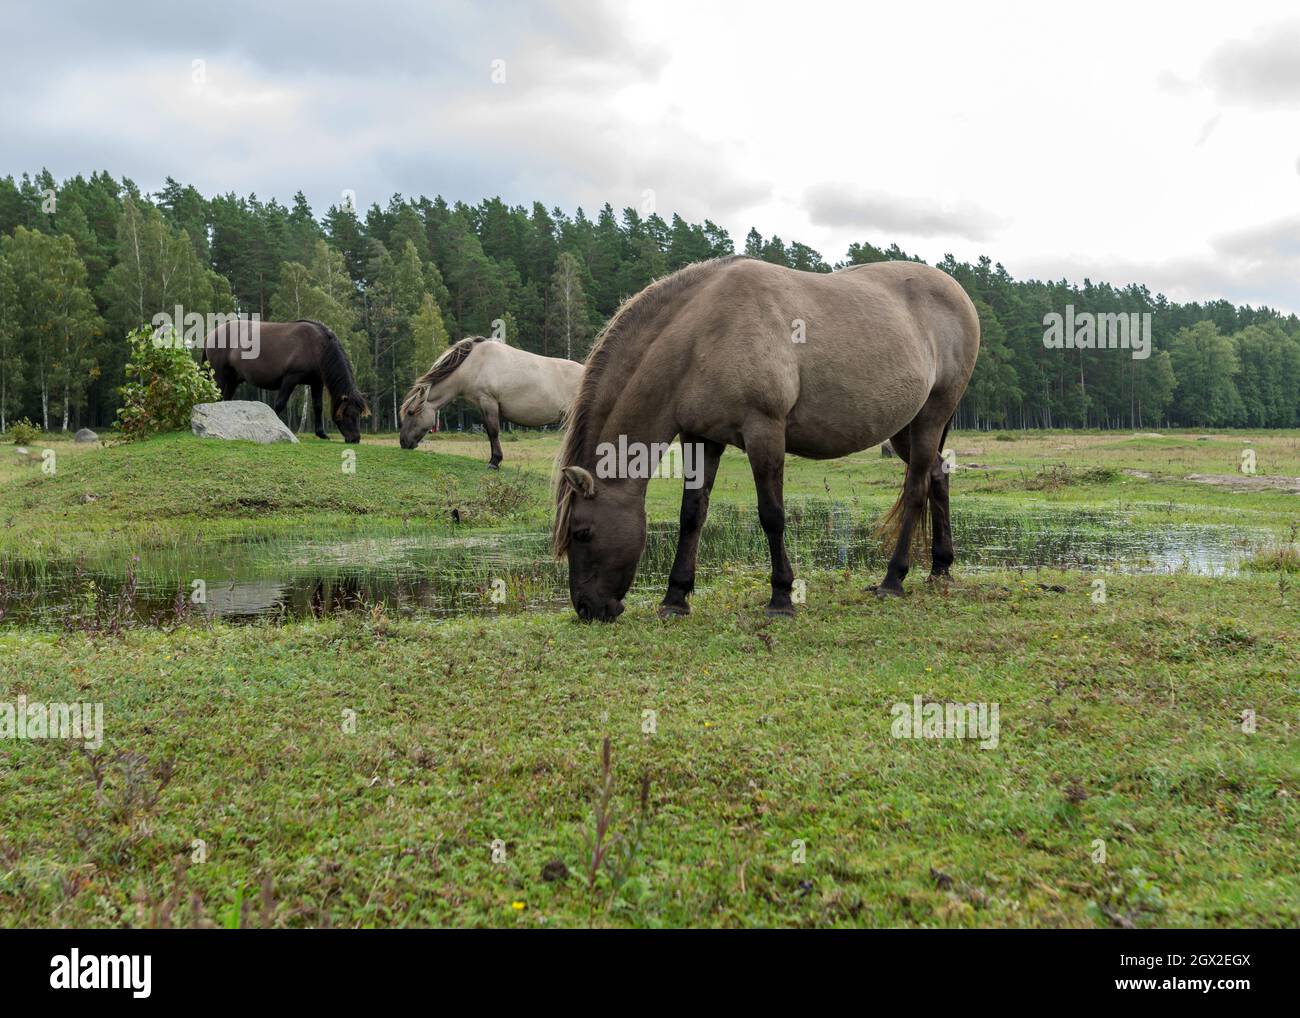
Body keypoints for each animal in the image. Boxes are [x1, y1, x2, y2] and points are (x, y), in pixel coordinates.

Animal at [201, 319, 369, 443]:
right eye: (347, 414)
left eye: (359, 414)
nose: (355, 439)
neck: (317, 346)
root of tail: (211, 334)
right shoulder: (290, 379)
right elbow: (280, 405)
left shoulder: (317, 383)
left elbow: (318, 407)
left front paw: (321, 433)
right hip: (220, 377)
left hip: (232, 380)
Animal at [399, 337, 584, 467]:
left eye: (410, 412)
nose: (403, 442)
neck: (475, 364)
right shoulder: (482, 405)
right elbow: (489, 432)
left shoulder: (489, 401)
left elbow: (494, 431)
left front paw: (495, 462)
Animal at [552, 255, 980, 622]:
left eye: (582, 532)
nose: (587, 608)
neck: (704, 333)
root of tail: (957, 292)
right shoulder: (700, 438)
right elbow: (691, 514)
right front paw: (675, 598)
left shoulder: (764, 431)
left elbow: (771, 515)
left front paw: (780, 597)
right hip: (906, 428)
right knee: (938, 476)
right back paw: (940, 567)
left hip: (930, 417)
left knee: (916, 490)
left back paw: (893, 579)